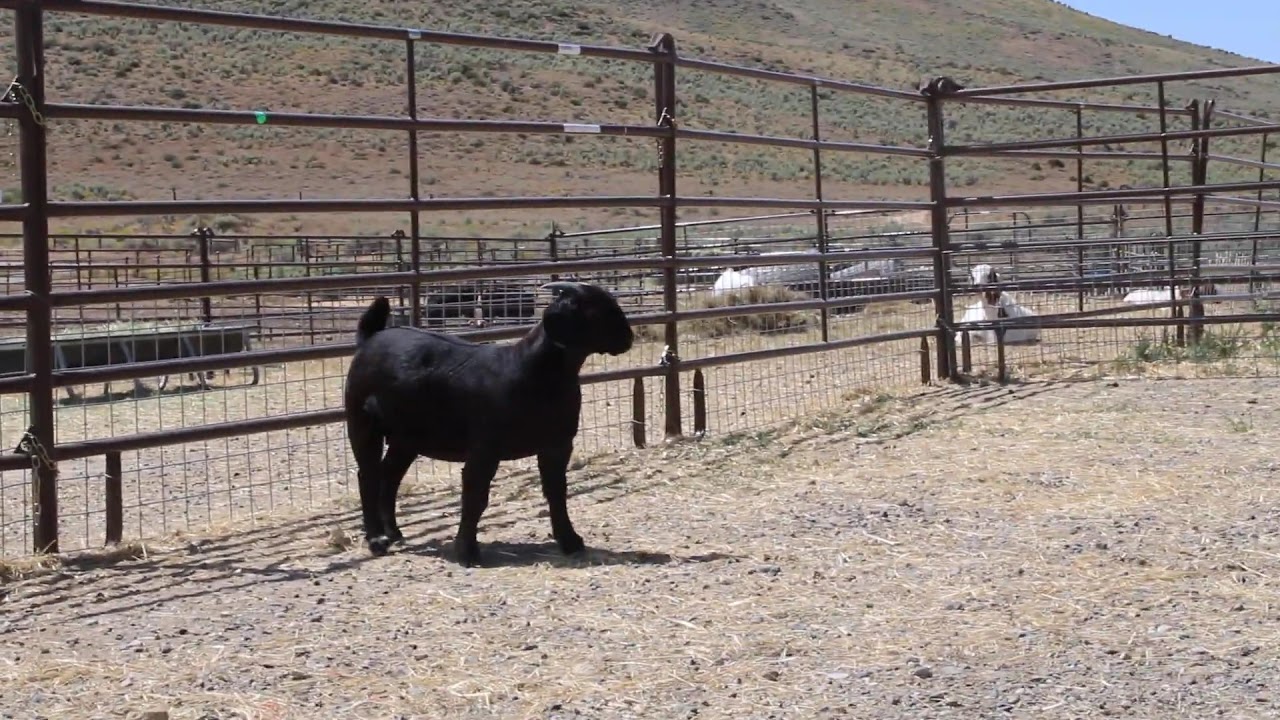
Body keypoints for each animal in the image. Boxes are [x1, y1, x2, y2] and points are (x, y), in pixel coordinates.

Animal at [343, 280, 636, 566]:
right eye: (597, 310)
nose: (628, 336)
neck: (534, 372)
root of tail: (370, 338)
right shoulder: (485, 449)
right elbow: (475, 496)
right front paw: (467, 551)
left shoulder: (558, 445)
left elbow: (557, 491)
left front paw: (570, 541)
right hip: (362, 421)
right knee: (368, 474)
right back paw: (377, 539)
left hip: (407, 437)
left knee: (390, 475)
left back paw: (394, 532)